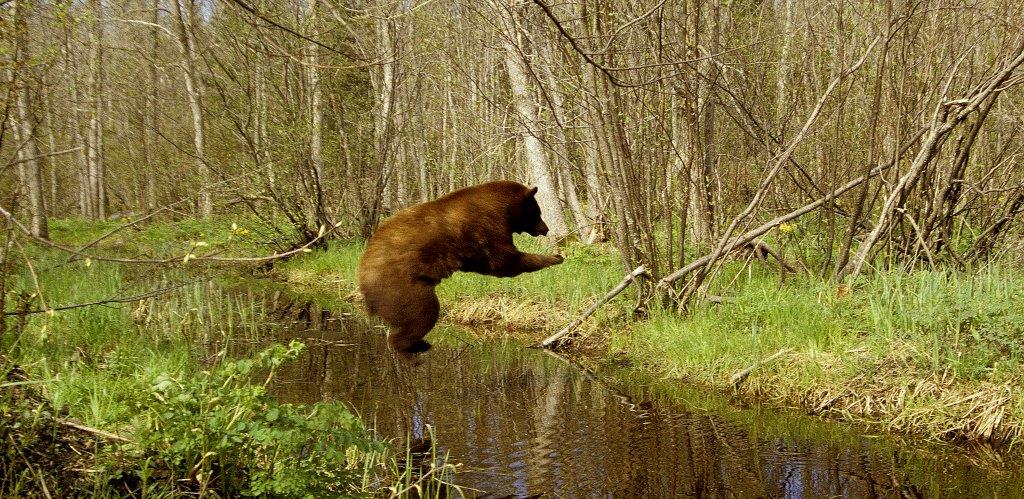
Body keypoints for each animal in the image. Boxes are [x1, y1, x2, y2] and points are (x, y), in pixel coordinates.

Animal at [357, 181, 564, 355]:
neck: (502, 207)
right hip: (402, 287)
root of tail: (363, 278)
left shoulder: (476, 248)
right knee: (423, 313)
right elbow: (505, 261)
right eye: (538, 212)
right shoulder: (490, 227)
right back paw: (413, 346)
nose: (546, 229)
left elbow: (491, 265)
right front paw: (555, 257)